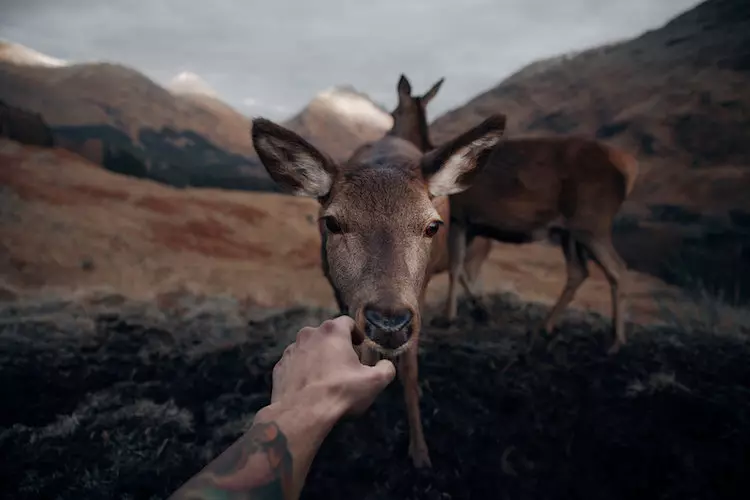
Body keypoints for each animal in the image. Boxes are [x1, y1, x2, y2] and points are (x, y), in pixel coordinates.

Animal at [251, 110, 506, 468]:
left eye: (432, 226)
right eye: (332, 222)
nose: (389, 322)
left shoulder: (418, 295)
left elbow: (410, 368)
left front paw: (419, 451)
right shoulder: (338, 290)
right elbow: (361, 351)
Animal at [440, 129, 640, 356]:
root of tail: (630, 168)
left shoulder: (458, 218)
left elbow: (455, 267)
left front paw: (450, 317)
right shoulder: (470, 227)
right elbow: (461, 268)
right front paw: (480, 311)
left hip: (592, 223)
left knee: (617, 268)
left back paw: (616, 341)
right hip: (569, 232)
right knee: (580, 271)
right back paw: (546, 327)